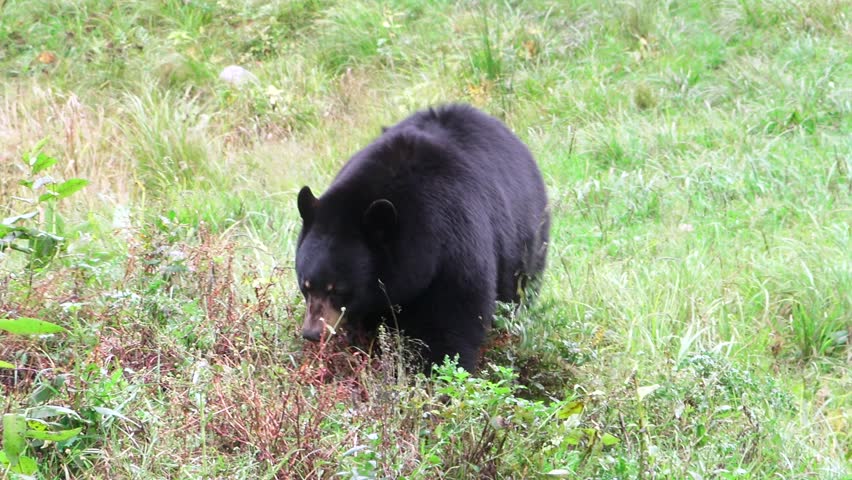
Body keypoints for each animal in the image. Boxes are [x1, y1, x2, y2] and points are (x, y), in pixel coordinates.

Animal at [295, 104, 549, 372]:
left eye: (339, 290)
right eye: (305, 285)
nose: (312, 333)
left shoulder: (456, 245)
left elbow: (455, 323)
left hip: (527, 246)